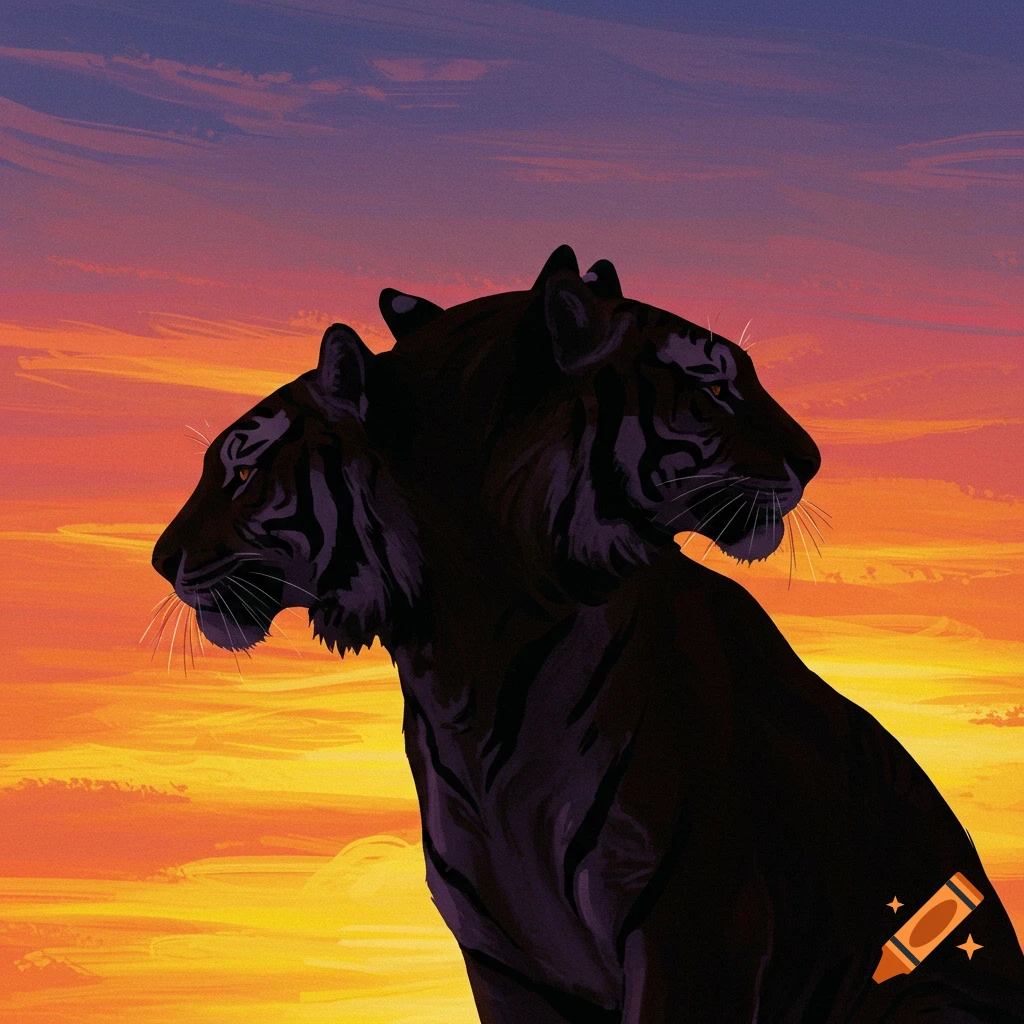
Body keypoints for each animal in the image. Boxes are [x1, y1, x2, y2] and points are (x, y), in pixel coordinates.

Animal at [152, 247, 1024, 1023]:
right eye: (714, 386)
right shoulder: (505, 955)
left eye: (242, 470)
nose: (160, 559)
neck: (460, 663)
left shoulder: (697, 926)